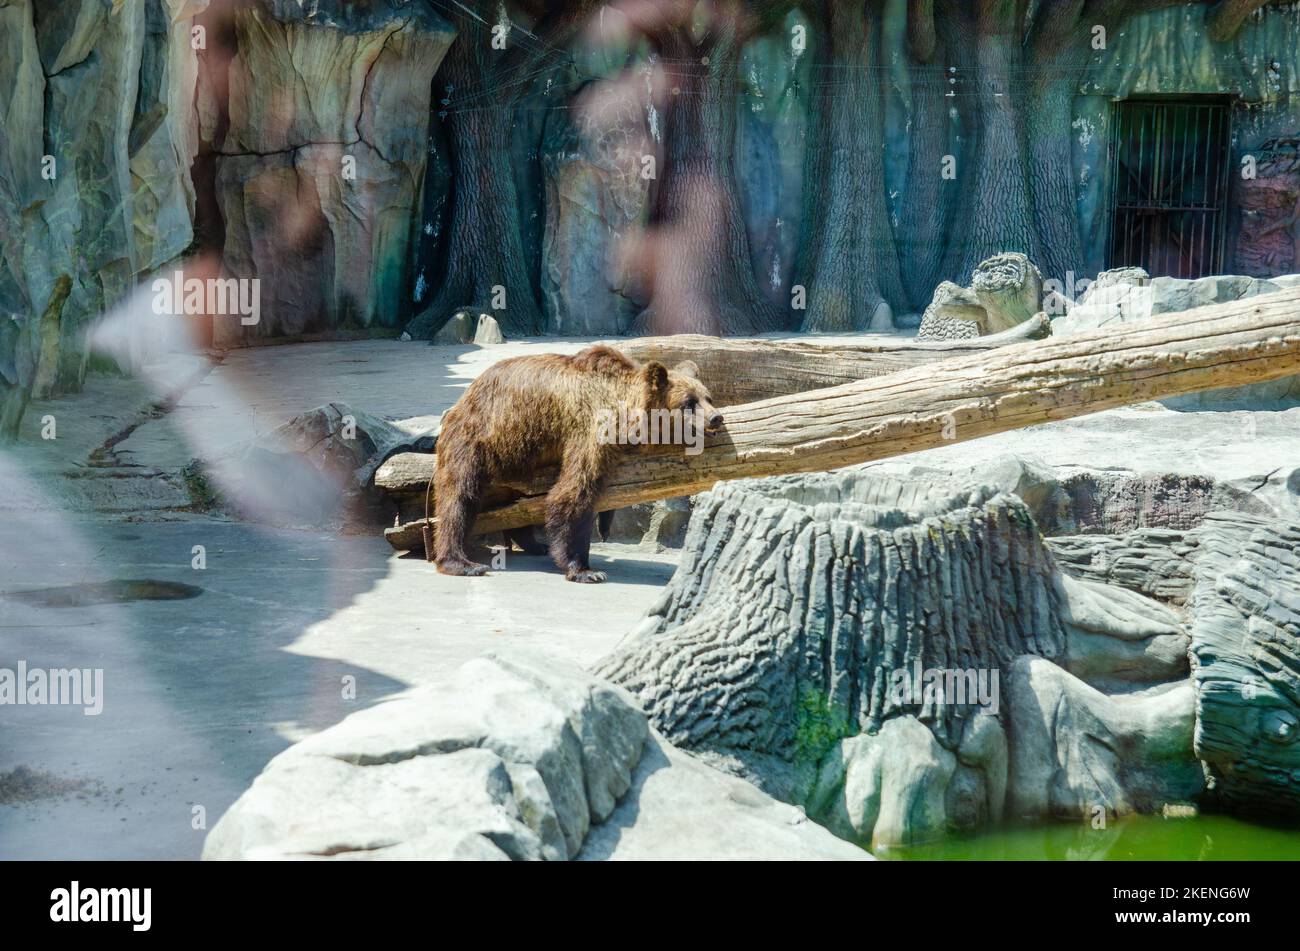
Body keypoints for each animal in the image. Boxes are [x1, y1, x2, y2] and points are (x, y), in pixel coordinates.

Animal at [434, 345, 723, 582]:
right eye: (689, 403)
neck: (623, 412)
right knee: (460, 497)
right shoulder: (589, 429)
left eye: (708, 397)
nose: (716, 418)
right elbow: (574, 492)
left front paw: (604, 526)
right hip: (476, 438)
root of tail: (463, 399)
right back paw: (462, 562)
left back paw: (533, 543)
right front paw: (584, 568)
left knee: (516, 502)